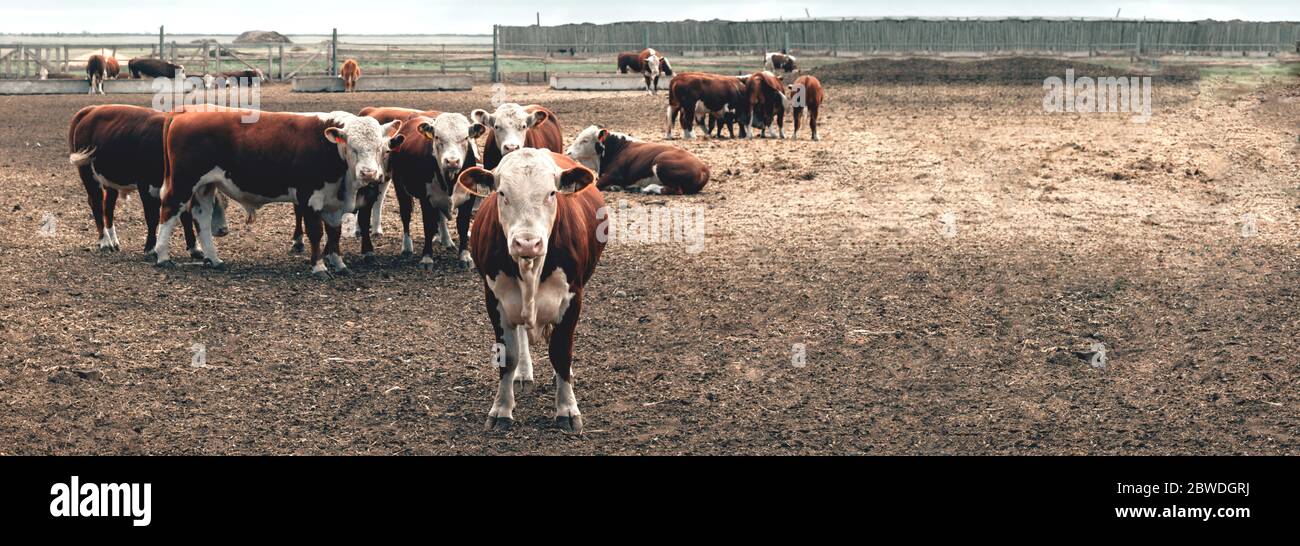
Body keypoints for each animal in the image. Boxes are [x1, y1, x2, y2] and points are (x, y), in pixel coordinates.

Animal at [68, 104, 226, 257]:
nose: (223, 230)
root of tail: (91, 109)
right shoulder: (146, 185)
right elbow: (152, 217)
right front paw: (150, 248)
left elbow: (185, 217)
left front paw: (194, 248)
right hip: (87, 172)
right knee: (96, 203)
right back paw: (105, 242)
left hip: (110, 181)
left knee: (108, 207)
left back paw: (114, 241)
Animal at [154, 111, 404, 278]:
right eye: (352, 147)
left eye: (381, 148)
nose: (369, 173)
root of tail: (184, 114)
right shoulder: (309, 197)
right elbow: (316, 233)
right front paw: (319, 267)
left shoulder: (333, 202)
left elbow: (334, 233)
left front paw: (339, 263)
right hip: (183, 182)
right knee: (169, 210)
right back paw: (163, 256)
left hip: (205, 186)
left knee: (202, 219)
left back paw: (214, 259)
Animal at [452, 149, 604, 433]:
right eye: (502, 193)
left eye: (552, 193)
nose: (527, 243)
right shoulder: (495, 300)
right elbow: (508, 355)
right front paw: (502, 408)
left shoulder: (573, 298)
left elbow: (561, 352)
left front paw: (567, 409)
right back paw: (523, 374)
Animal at [566, 125, 709, 195]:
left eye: (585, 140)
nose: (568, 152)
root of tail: (703, 167)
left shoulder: (615, 175)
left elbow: (596, 184)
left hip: (660, 163)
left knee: (675, 190)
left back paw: (646, 189)